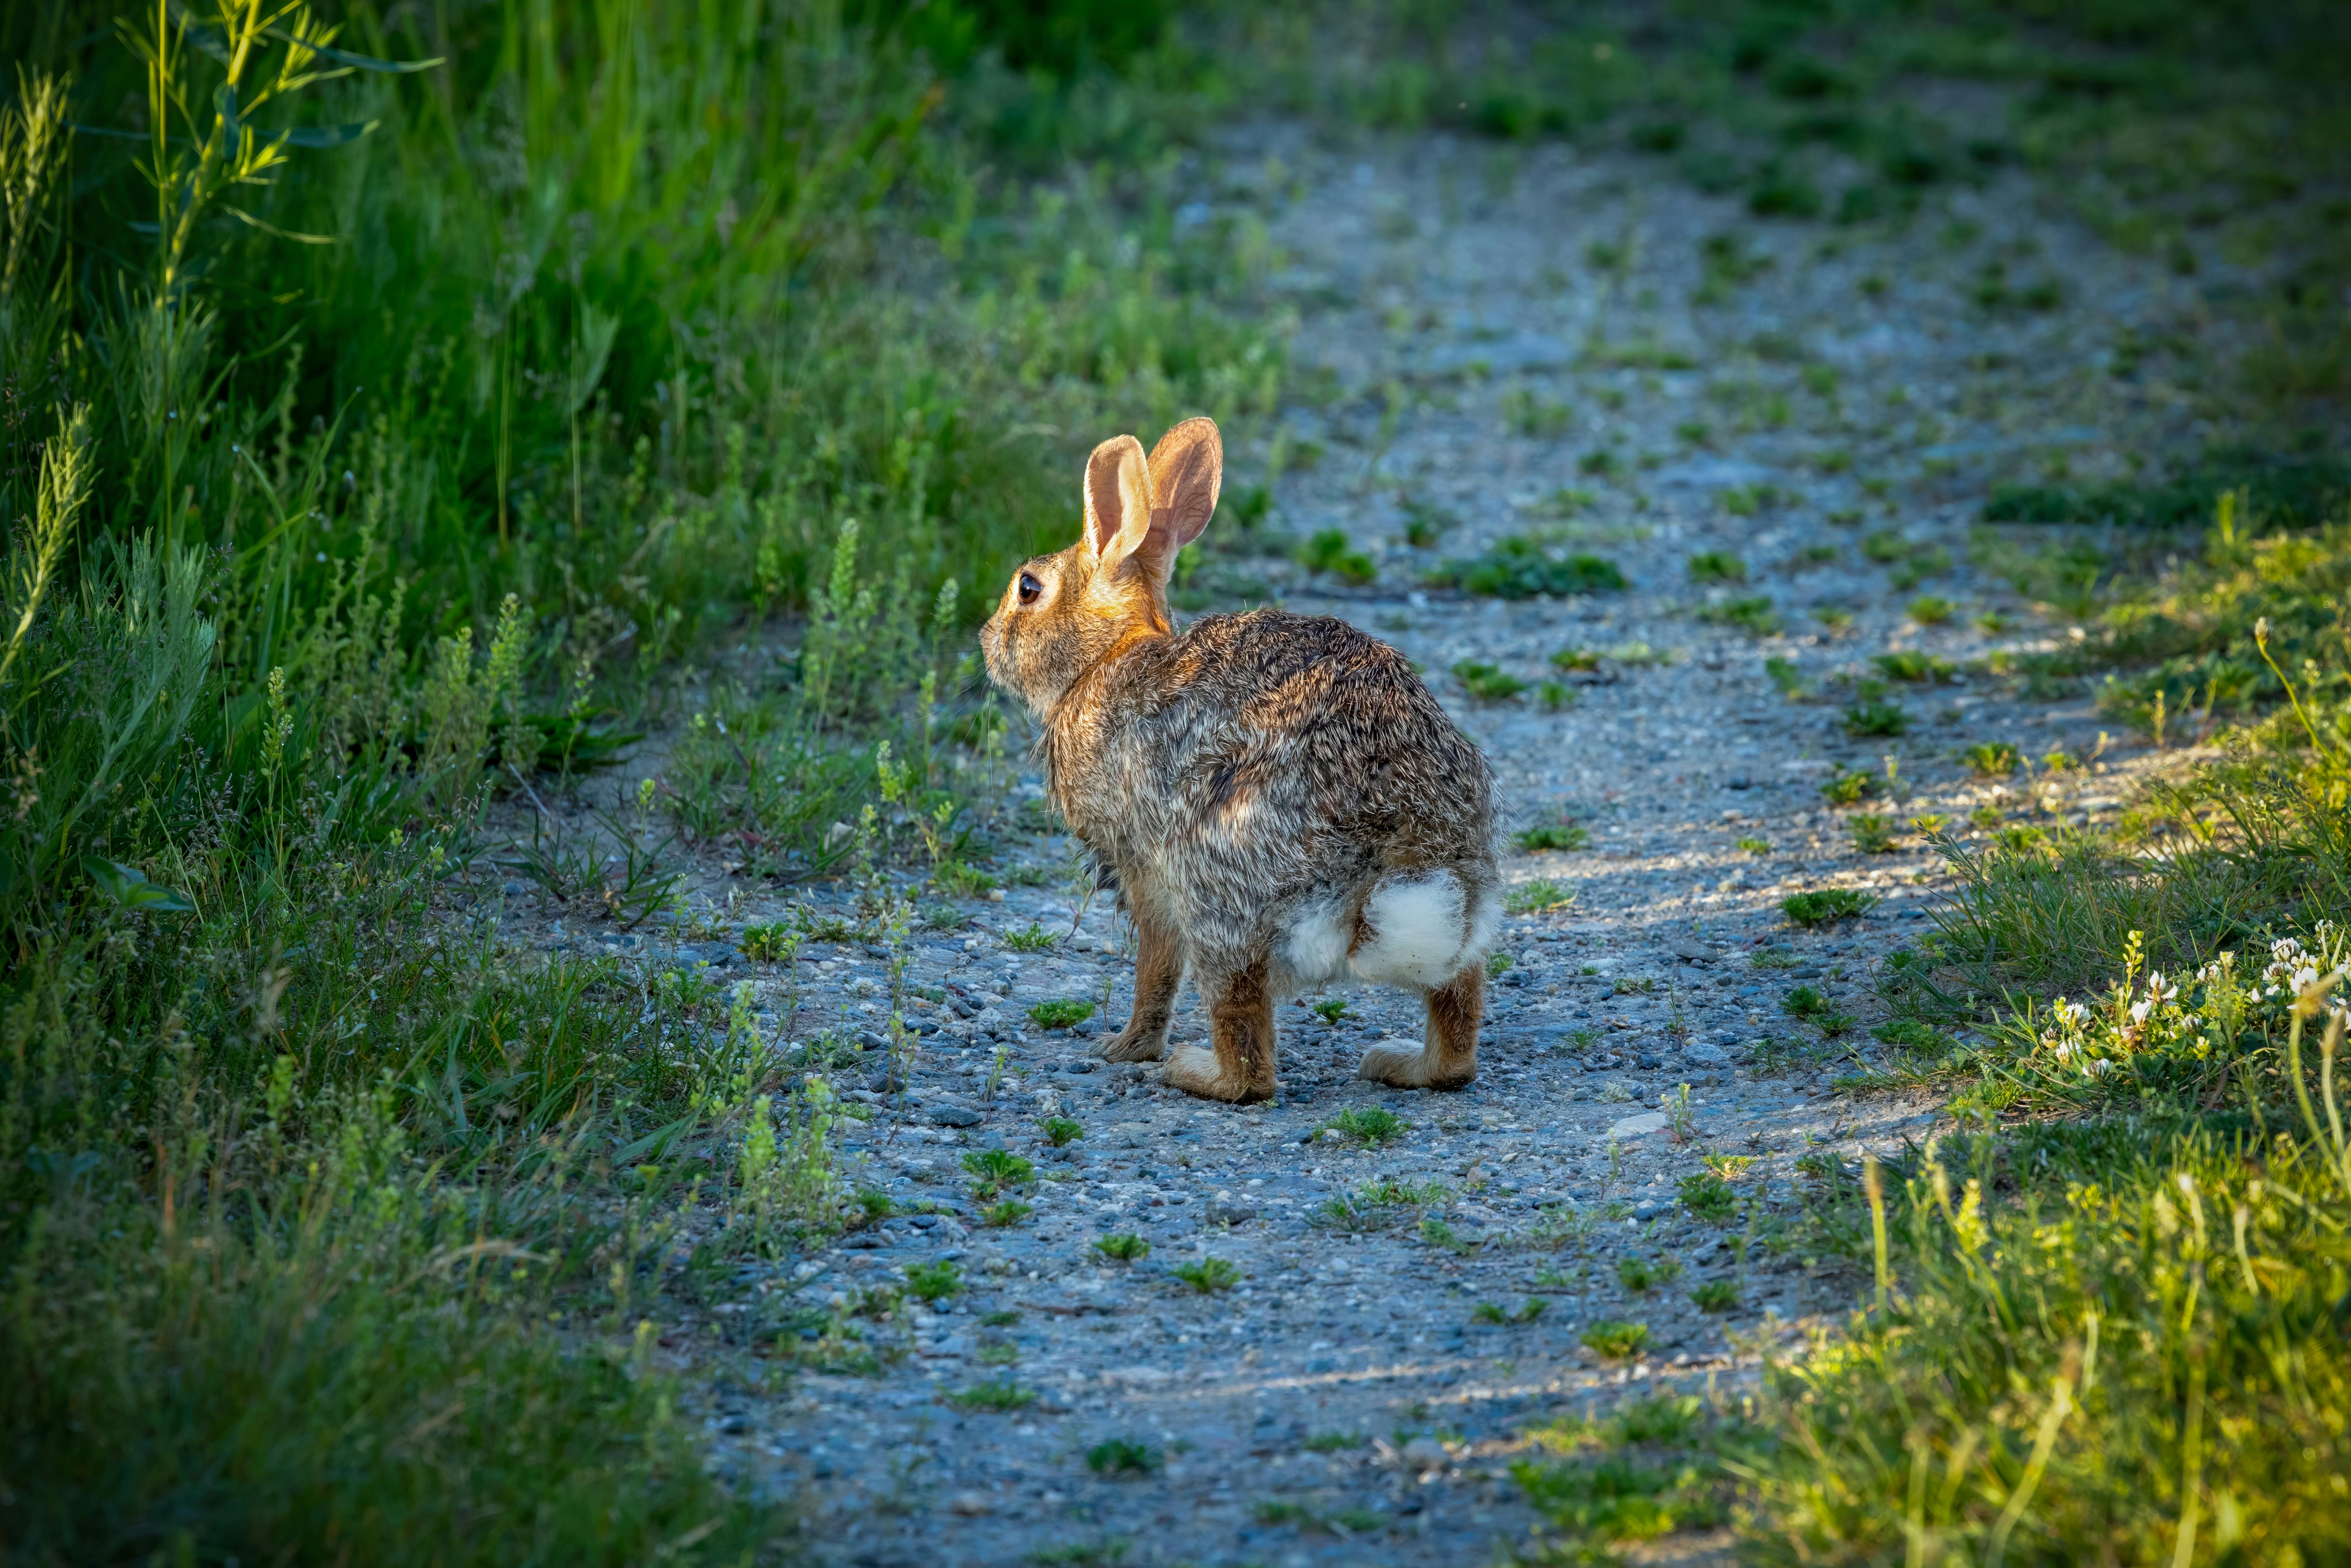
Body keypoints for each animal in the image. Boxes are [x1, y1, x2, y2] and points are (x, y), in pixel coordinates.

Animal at [979, 416, 1499, 1104]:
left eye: (1028, 588)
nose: (986, 639)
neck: (1105, 659)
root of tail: (1397, 858)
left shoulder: (1141, 865)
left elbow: (1155, 964)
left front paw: (1124, 1046)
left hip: (1218, 901)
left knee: (1249, 1064)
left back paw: (1190, 1068)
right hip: (1465, 928)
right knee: (1456, 1035)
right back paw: (1400, 1061)